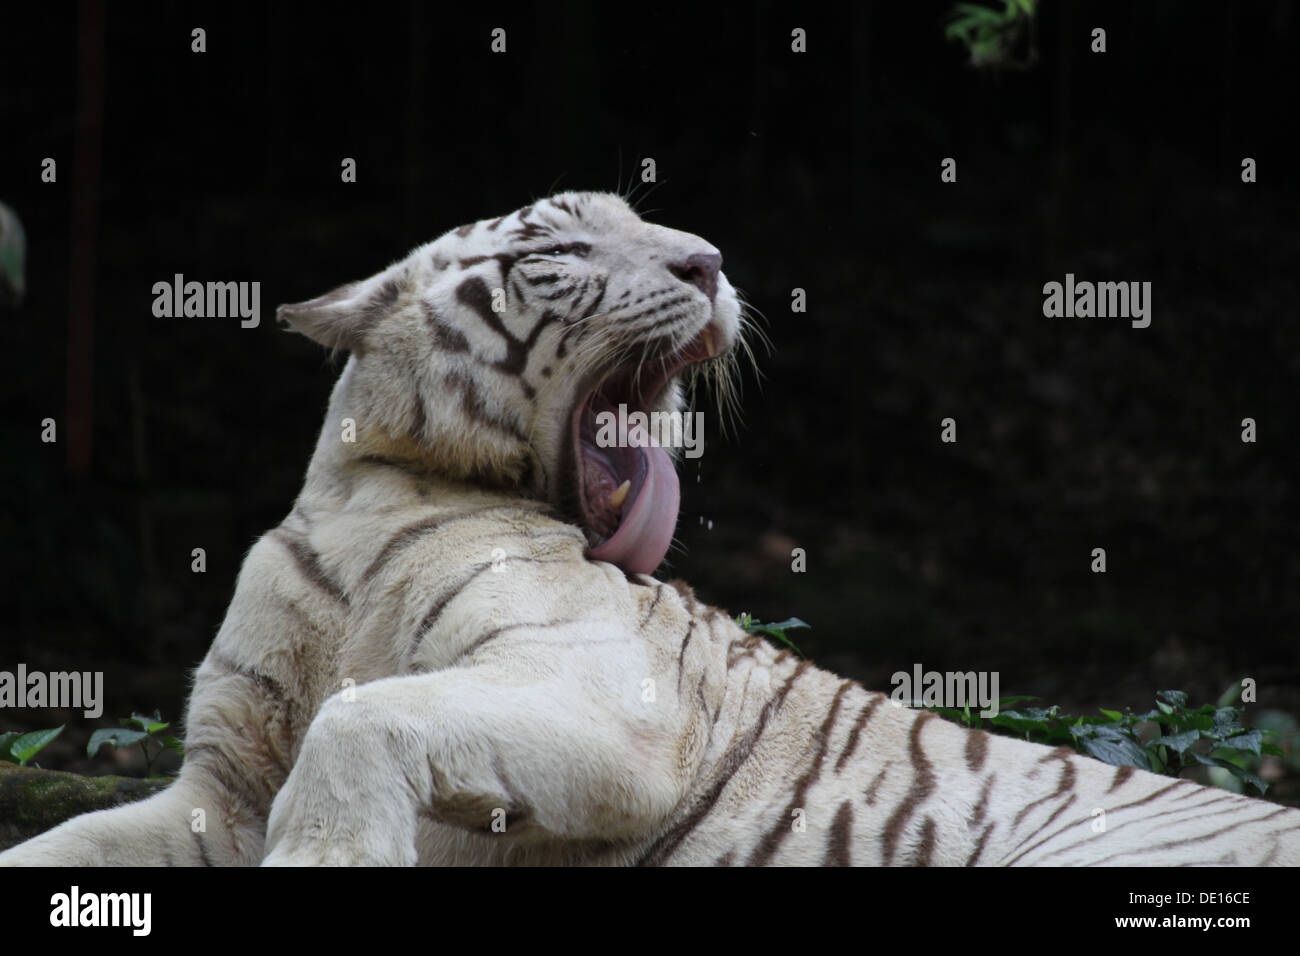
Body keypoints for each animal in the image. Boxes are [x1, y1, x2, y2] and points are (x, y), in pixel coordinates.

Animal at [3, 191, 1298, 867]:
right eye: (559, 248)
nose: (711, 259)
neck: (380, 484)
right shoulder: (220, 787)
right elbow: (68, 850)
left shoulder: (606, 696)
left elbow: (363, 715)